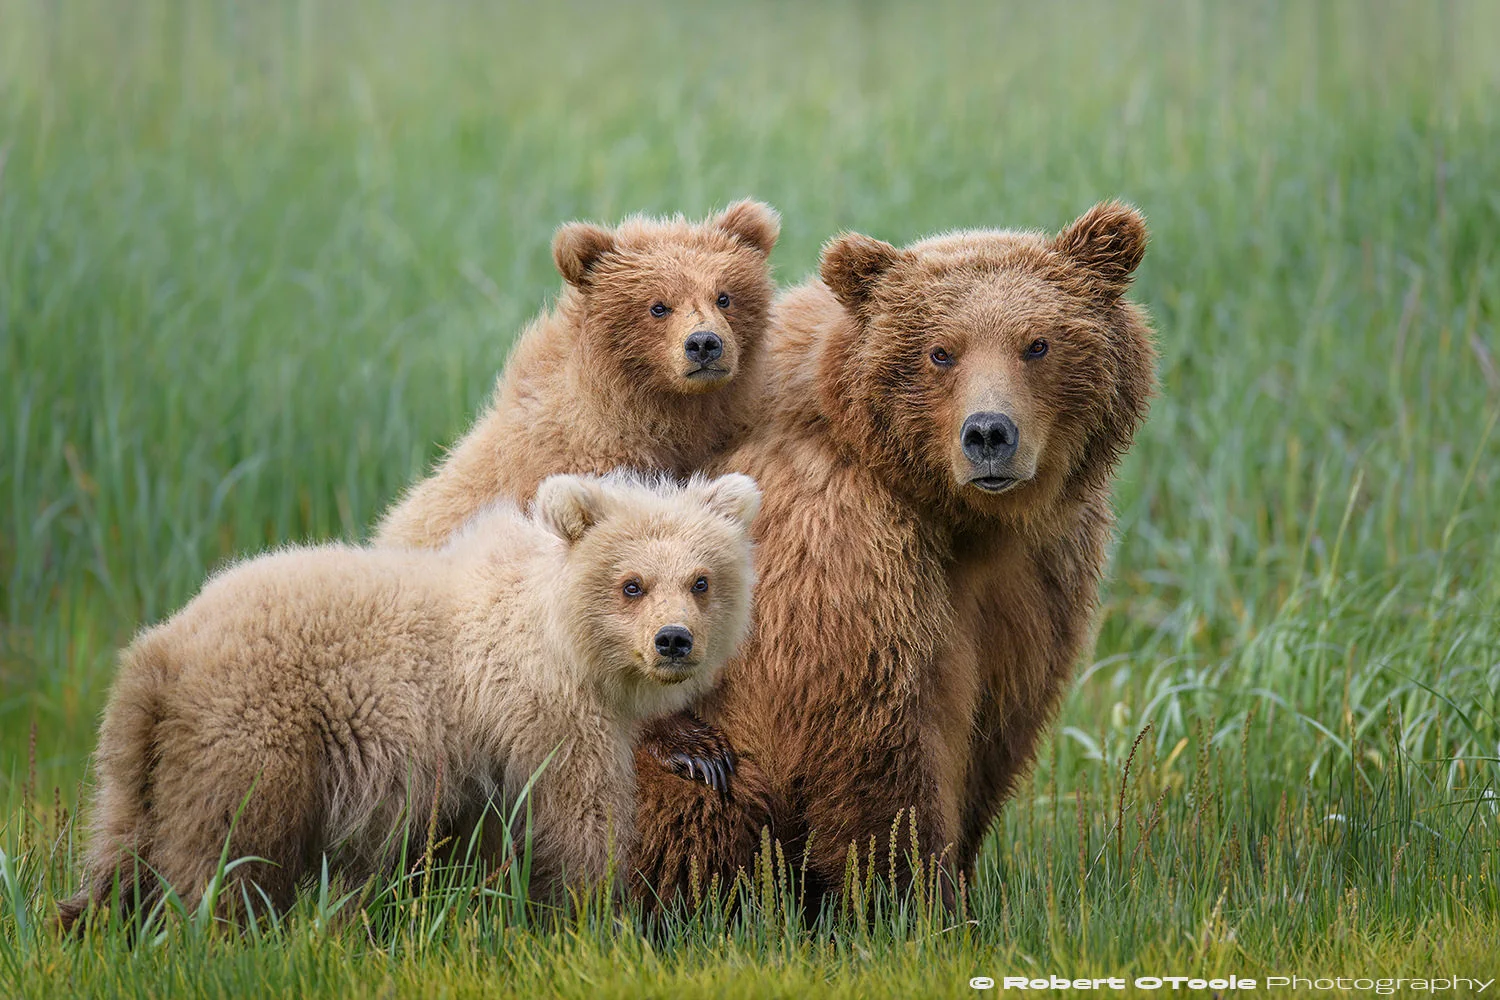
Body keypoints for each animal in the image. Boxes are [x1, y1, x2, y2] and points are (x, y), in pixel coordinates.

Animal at [57, 472, 762, 930]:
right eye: (632, 584)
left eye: (701, 580)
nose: (674, 640)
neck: (562, 637)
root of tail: (161, 650)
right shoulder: (546, 715)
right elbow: (580, 820)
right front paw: (600, 918)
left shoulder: (482, 762)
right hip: (255, 735)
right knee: (227, 850)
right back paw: (216, 931)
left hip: (138, 762)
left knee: (122, 848)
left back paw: (87, 920)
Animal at [628, 202, 1156, 910]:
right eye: (941, 352)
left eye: (1038, 343)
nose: (989, 433)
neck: (959, 520)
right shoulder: (841, 547)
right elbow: (878, 740)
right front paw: (912, 900)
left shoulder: (1037, 572)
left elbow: (996, 726)